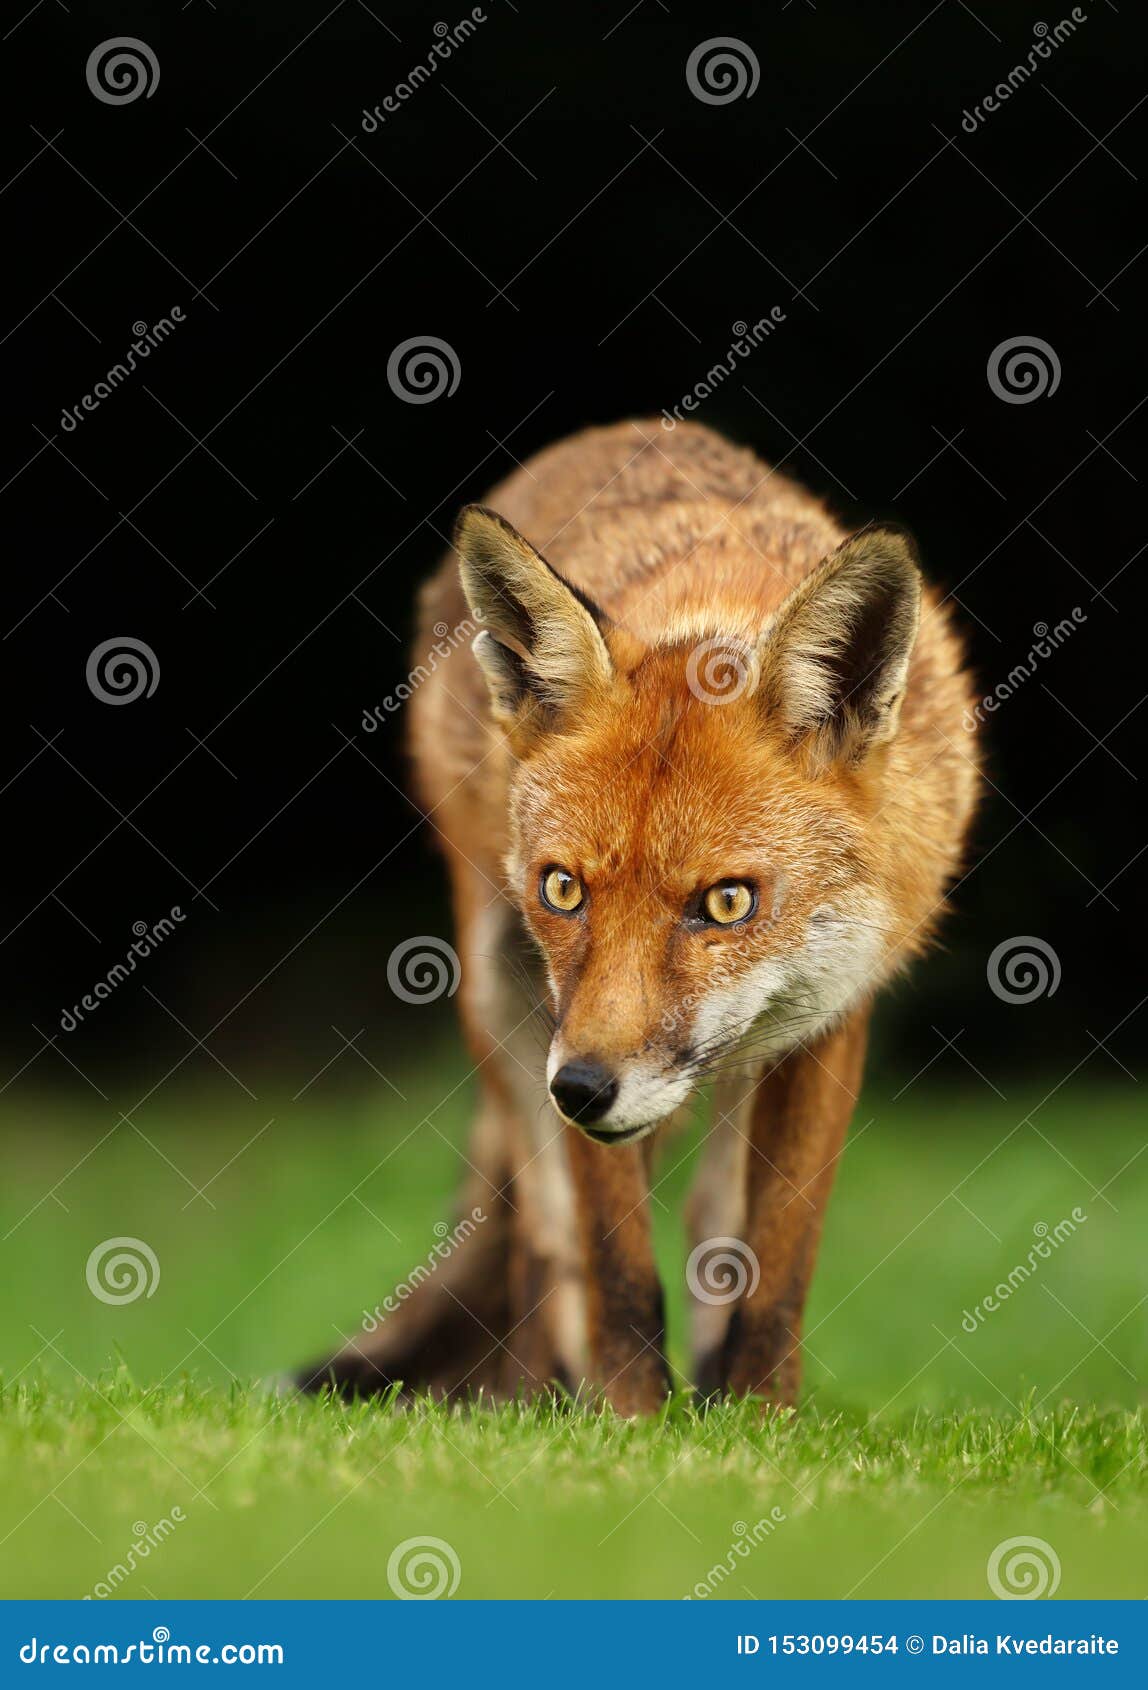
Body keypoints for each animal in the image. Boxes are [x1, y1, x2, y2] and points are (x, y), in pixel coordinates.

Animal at [299, 417, 980, 1415]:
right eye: (564, 890)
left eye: (727, 902)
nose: (583, 1089)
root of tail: (618, 432)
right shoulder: (566, 1021)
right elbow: (615, 1260)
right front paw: (630, 1424)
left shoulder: (835, 1009)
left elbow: (778, 1256)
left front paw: (760, 1419)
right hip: (495, 989)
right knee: (544, 1239)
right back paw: (541, 1397)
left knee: (709, 1219)